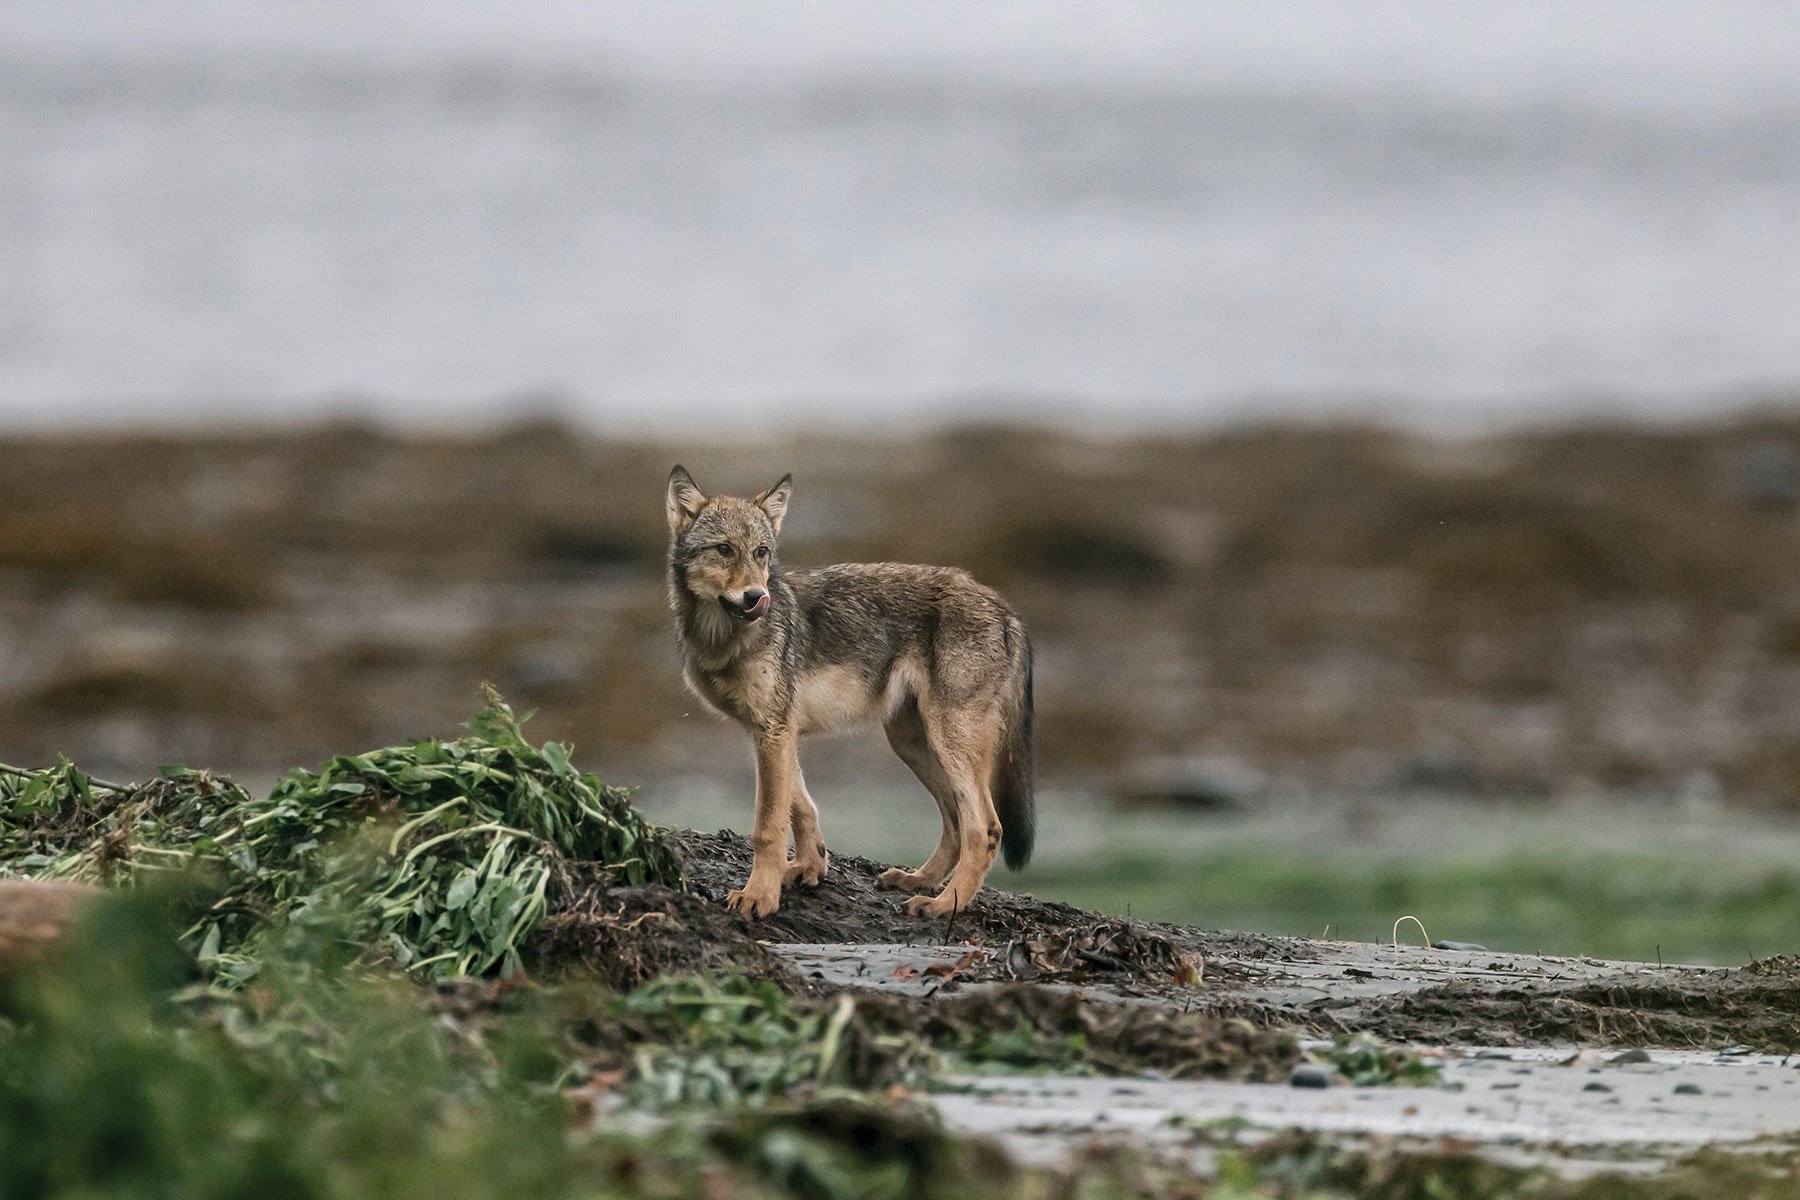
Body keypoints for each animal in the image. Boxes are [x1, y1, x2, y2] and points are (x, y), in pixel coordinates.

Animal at [665, 465, 1035, 919]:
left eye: (761, 553)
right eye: (724, 550)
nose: (758, 597)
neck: (723, 640)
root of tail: (1008, 610)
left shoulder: (773, 731)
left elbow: (768, 827)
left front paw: (758, 898)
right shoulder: (773, 732)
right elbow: (802, 807)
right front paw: (809, 868)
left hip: (949, 744)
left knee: (985, 829)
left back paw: (943, 904)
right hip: (912, 742)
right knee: (955, 821)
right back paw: (919, 881)